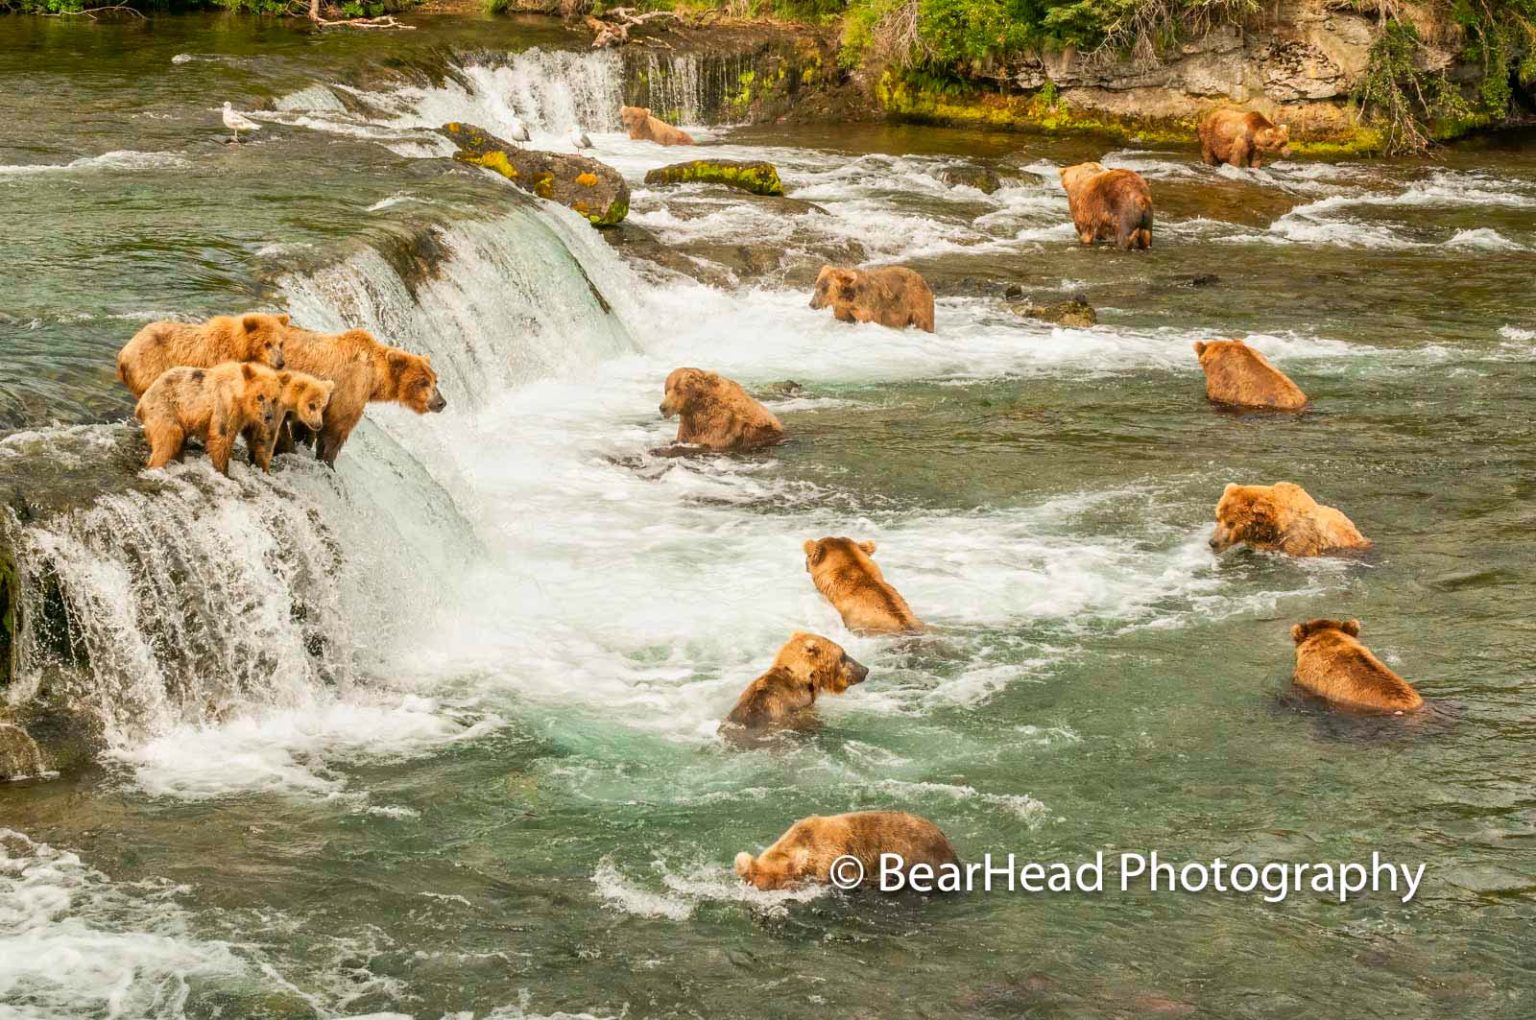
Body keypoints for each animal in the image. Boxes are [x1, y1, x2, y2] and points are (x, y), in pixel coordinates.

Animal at [117, 313, 291, 398]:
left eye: (281, 343)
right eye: (267, 343)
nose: (280, 362)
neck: (238, 346)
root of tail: (123, 352)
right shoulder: (219, 358)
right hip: (151, 363)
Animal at [134, 361, 282, 475]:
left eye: (274, 399)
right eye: (260, 396)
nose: (268, 416)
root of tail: (141, 402)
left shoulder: (246, 418)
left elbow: (259, 439)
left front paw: (263, 466)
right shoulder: (225, 403)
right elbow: (222, 436)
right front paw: (223, 470)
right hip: (166, 407)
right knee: (169, 436)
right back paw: (155, 465)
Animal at [274, 326, 446, 466]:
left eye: (435, 380)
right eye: (423, 381)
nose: (441, 402)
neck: (374, 379)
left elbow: (305, 426)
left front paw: (304, 444)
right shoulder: (349, 389)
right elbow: (336, 429)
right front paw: (327, 461)